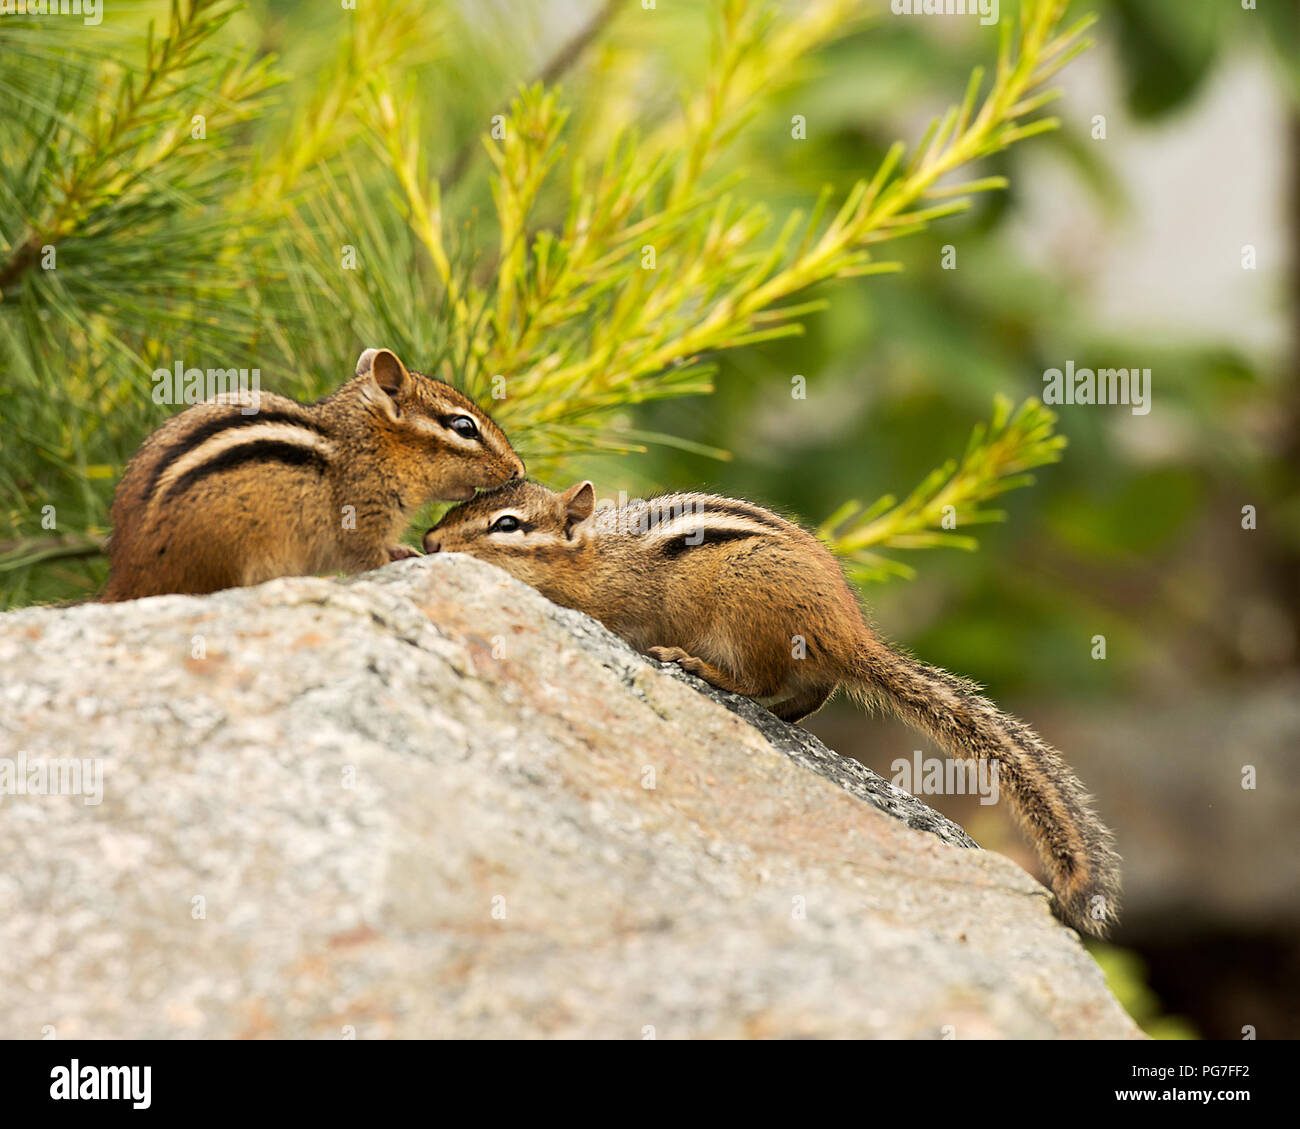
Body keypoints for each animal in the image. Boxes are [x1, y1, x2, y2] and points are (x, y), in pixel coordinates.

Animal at [101, 347, 524, 601]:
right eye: (464, 427)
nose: (518, 469)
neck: (369, 446)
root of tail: (127, 572)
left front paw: (405, 550)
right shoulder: (360, 518)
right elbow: (367, 560)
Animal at [423, 478, 1122, 937]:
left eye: (507, 524)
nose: (428, 541)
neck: (593, 556)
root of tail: (846, 628)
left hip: (741, 612)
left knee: (757, 681)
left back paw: (701, 668)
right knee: (812, 690)